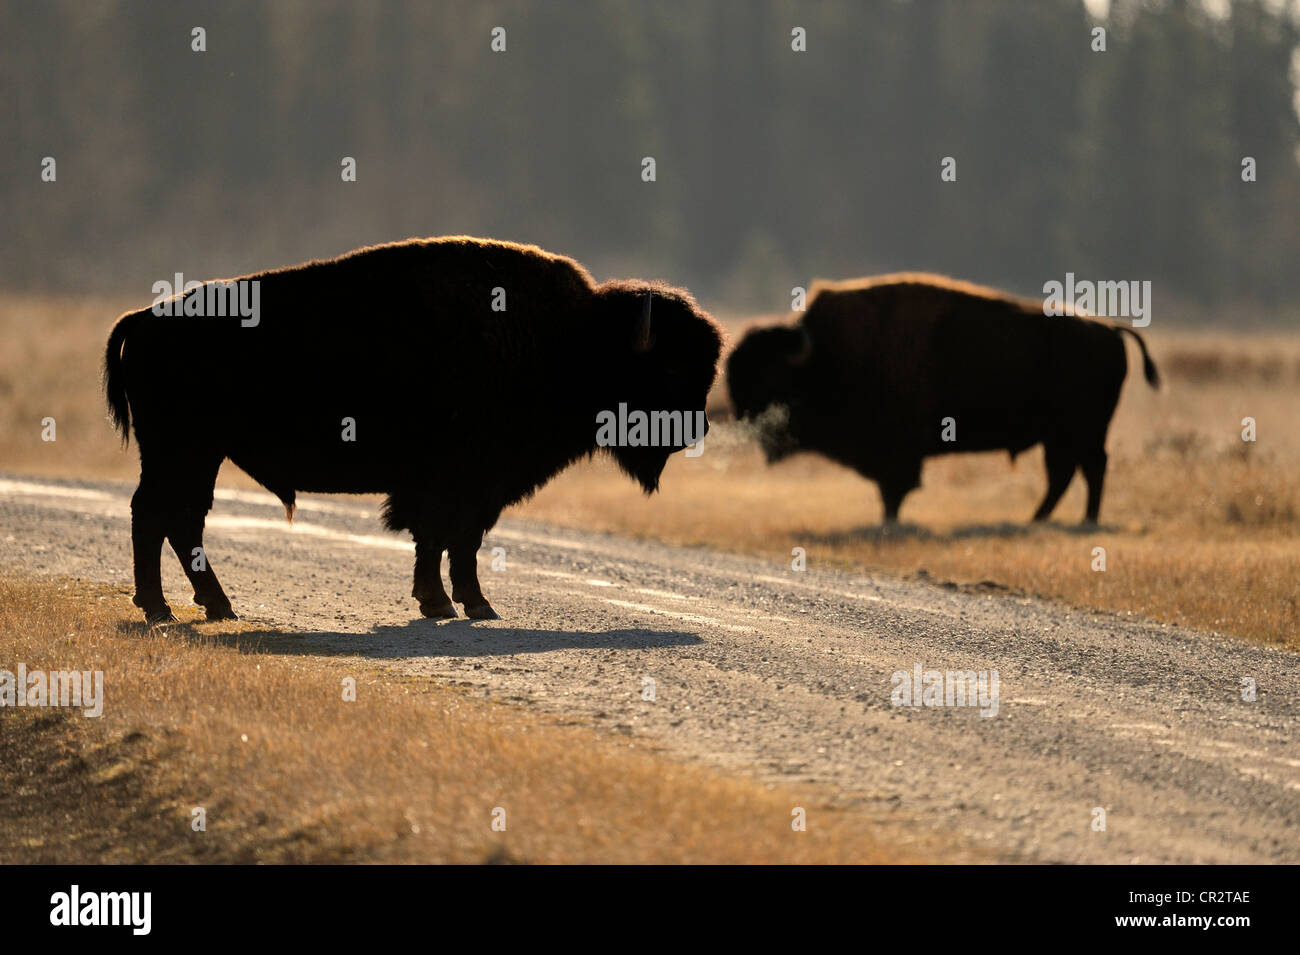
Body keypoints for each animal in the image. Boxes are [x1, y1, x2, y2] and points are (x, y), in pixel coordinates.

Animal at [105, 236, 723, 624]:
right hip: (183, 452)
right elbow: (450, 538)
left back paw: (208, 606)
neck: (571, 341)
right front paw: (459, 604)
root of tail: (144, 318)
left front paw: (456, 603)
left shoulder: (470, 488)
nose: (695, 430)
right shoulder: (462, 482)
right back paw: (166, 607)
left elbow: (449, 541)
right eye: (670, 368)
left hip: (195, 455)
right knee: (159, 515)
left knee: (177, 520)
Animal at [726, 273, 1159, 524]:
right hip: (1060, 437)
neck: (827, 357)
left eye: (771, 374)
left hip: (1083, 432)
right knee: (1065, 475)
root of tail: (1110, 329)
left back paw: (1084, 522)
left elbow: (894, 491)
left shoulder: (896, 454)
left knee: (1090, 469)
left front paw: (890, 523)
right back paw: (1036, 521)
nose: (743, 417)